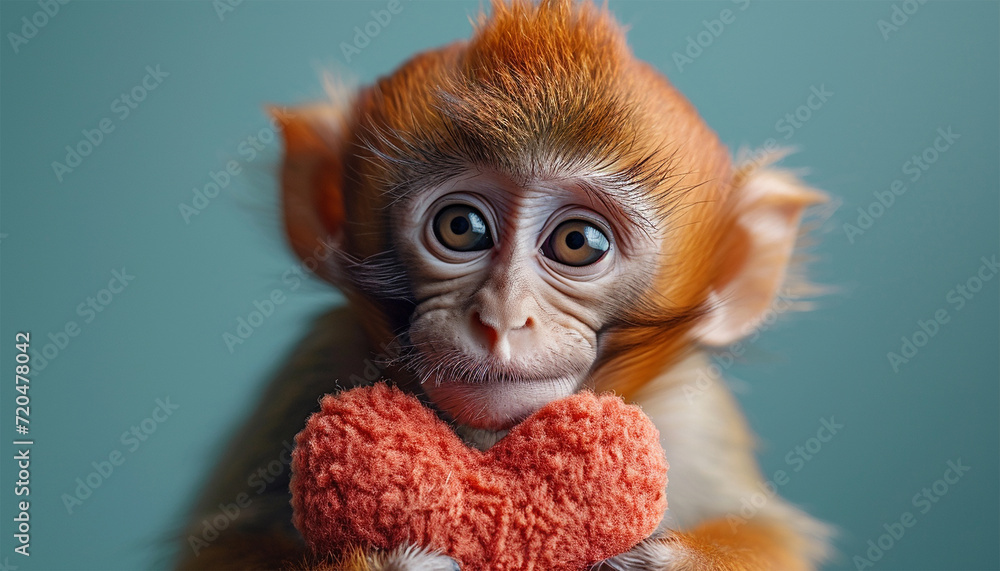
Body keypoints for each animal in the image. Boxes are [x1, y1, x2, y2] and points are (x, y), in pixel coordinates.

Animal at [175, 1, 833, 569]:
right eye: (461, 227)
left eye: (577, 242)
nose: (501, 317)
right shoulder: (318, 365)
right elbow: (219, 547)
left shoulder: (692, 419)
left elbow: (769, 534)